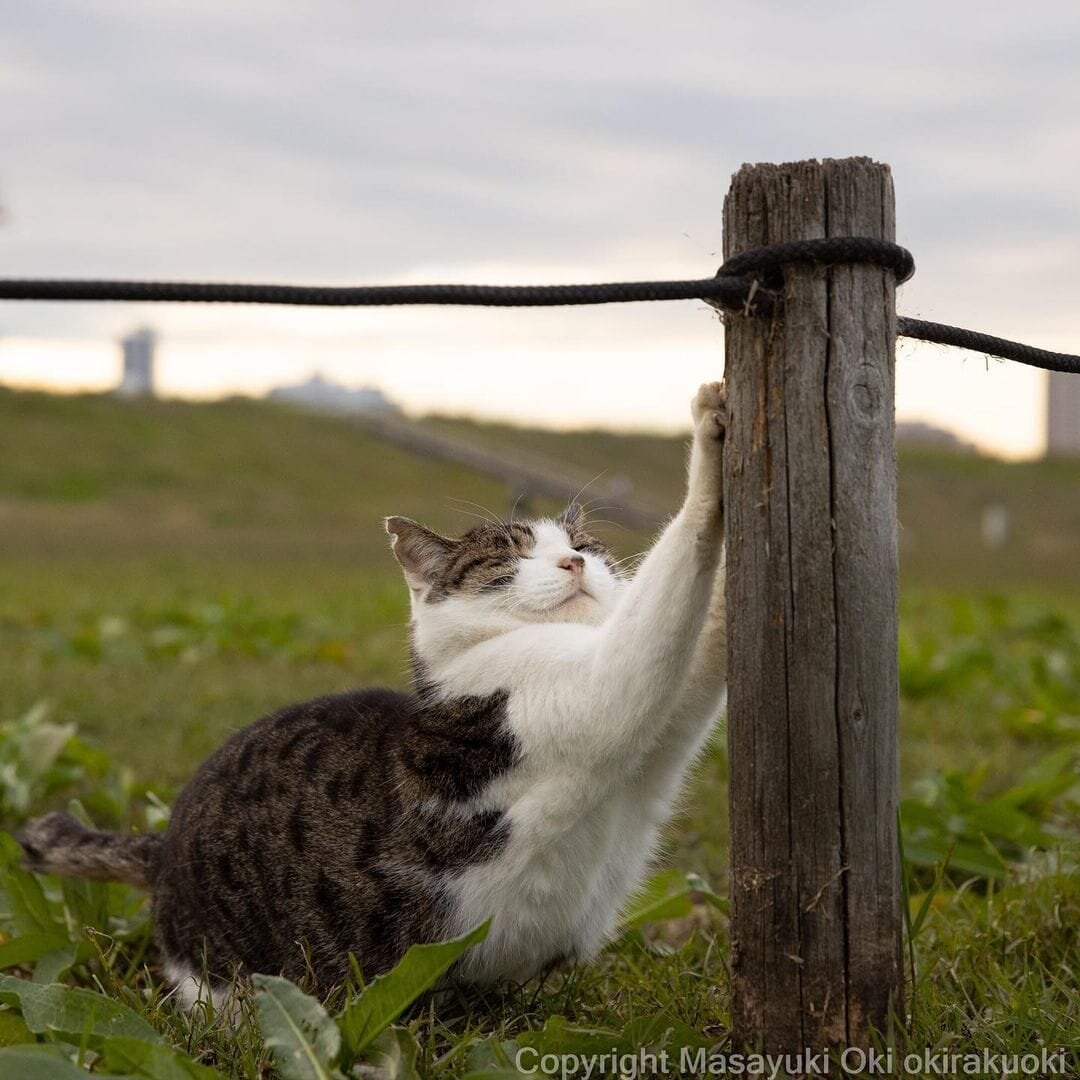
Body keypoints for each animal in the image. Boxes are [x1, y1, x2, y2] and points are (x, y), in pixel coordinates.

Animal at [16, 380, 730, 1002]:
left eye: (586, 545)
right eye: (509, 556)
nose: (574, 562)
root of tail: (160, 847)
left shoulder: (666, 714)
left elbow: (705, 633)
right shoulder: (604, 686)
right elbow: (674, 566)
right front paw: (708, 432)